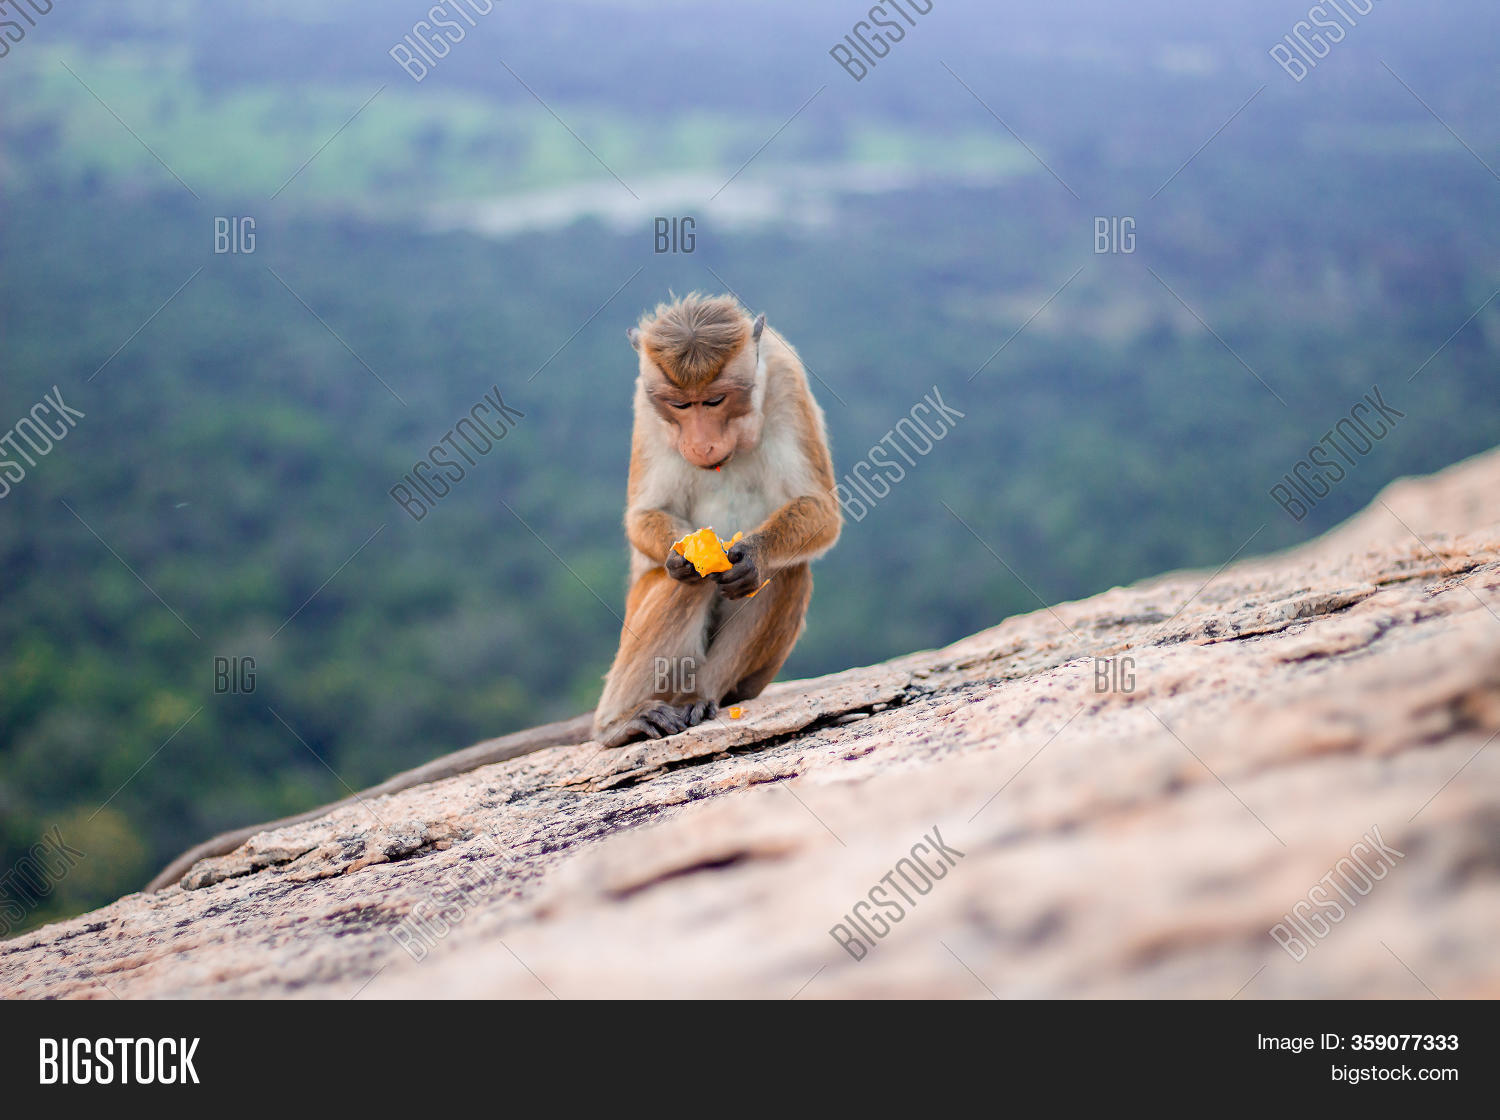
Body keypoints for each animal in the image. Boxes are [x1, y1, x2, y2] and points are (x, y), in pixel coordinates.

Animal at [592, 292, 841, 747]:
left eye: (714, 400)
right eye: (679, 404)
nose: (702, 443)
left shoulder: (787, 377)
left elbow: (819, 507)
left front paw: (754, 555)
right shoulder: (645, 405)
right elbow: (643, 515)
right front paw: (681, 557)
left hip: (753, 681)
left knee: (786, 572)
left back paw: (701, 695)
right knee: (687, 586)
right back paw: (617, 723)